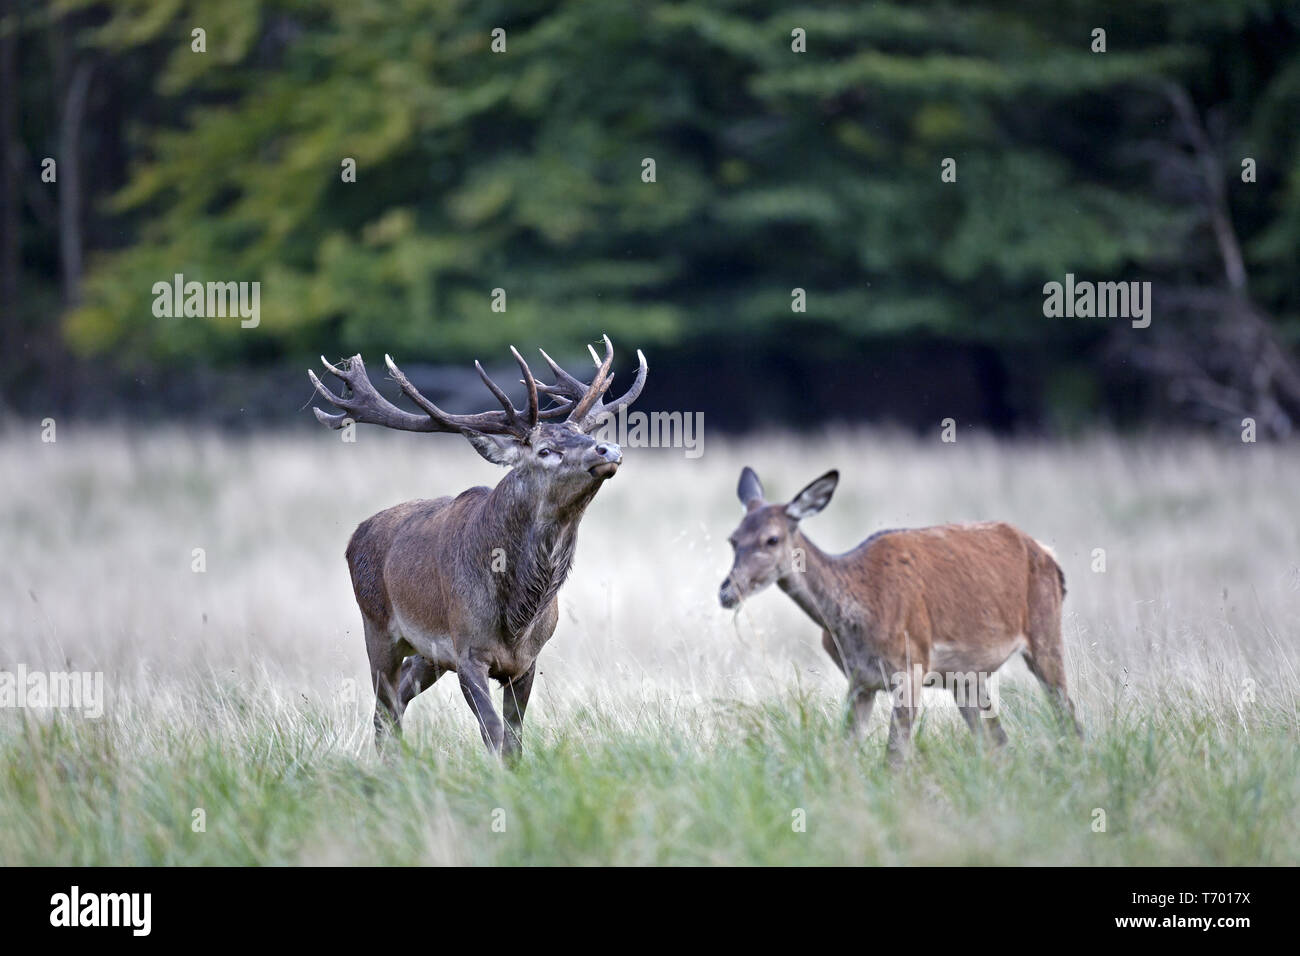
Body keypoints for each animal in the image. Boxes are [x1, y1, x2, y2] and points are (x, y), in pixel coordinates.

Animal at [308, 336, 646, 761]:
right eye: (544, 450)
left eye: (585, 436)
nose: (607, 450)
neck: (518, 615)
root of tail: (355, 536)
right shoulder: (468, 651)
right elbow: (494, 733)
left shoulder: (526, 661)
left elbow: (514, 741)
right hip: (378, 628)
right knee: (383, 711)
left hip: (429, 655)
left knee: (397, 701)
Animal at [718, 467, 1081, 763]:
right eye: (733, 539)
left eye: (772, 538)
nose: (727, 591)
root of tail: (1050, 557)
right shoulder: (860, 680)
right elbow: (846, 751)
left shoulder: (912, 665)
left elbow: (894, 759)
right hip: (966, 676)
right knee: (998, 742)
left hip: (1045, 633)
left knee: (1068, 715)